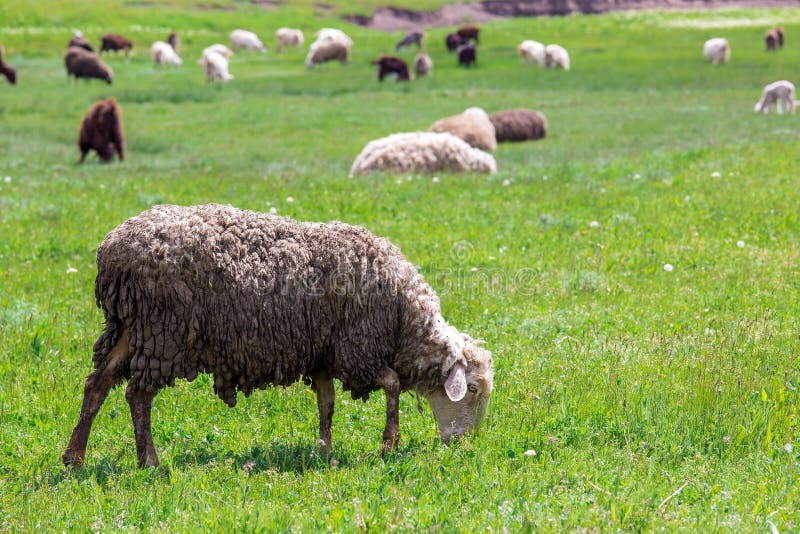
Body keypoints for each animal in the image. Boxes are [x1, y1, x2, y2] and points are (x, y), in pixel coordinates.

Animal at [62, 203, 494, 468]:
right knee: (137, 394)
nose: (464, 445)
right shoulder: (356, 349)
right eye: (472, 390)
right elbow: (391, 384)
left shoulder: (322, 353)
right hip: (162, 331)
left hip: (130, 328)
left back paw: (74, 458)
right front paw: (389, 442)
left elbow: (326, 404)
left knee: (97, 385)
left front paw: (324, 451)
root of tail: (111, 251)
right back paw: (149, 462)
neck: (403, 317)